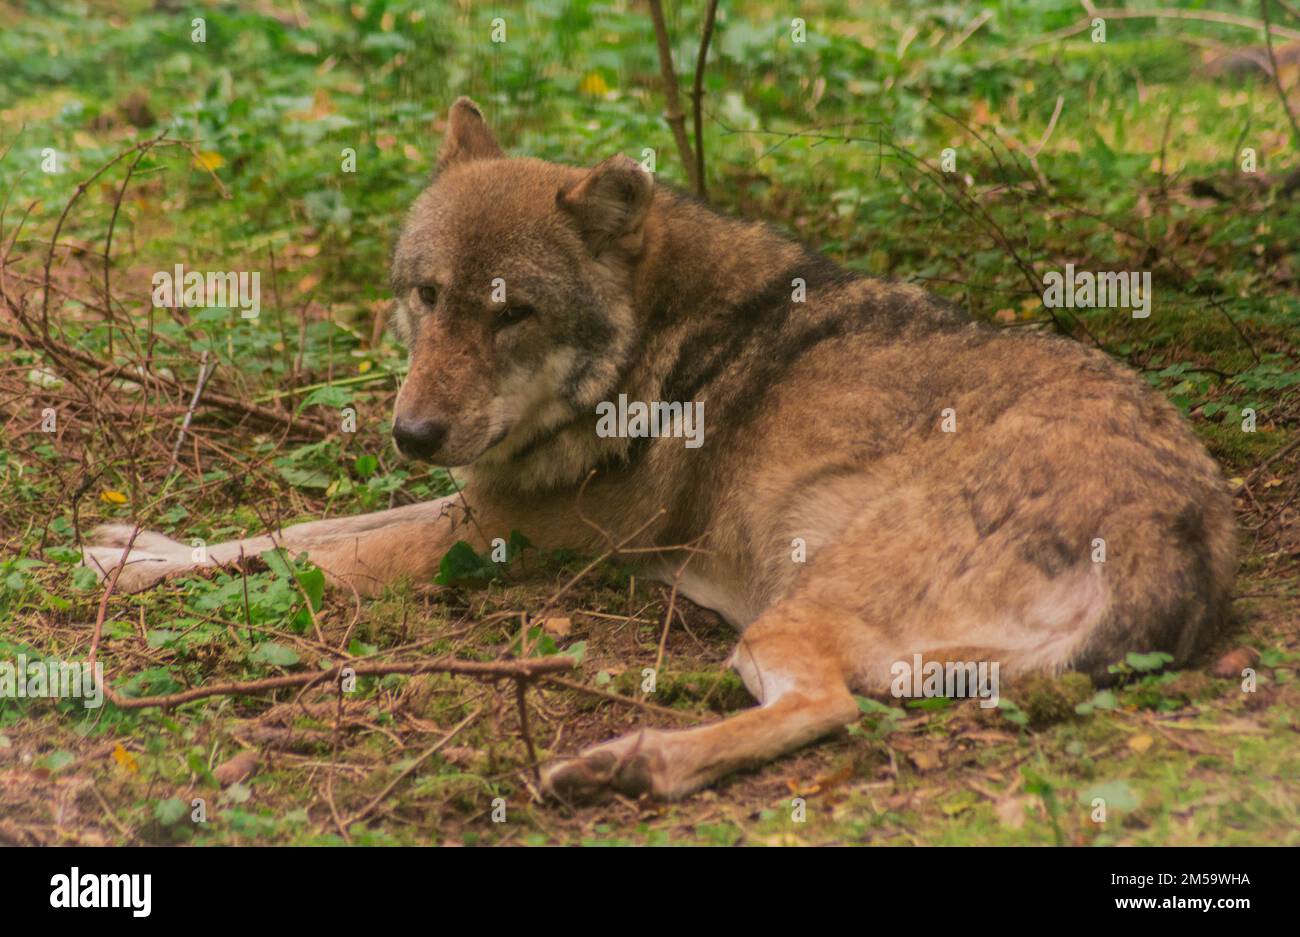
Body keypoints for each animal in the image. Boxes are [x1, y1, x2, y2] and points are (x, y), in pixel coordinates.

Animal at [85, 98, 1237, 802]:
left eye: (512, 314)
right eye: (428, 295)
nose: (412, 435)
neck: (653, 339)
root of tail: (1179, 529)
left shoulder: (485, 532)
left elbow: (299, 547)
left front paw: (129, 574)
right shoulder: (467, 502)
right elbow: (297, 525)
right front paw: (136, 545)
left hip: (785, 614)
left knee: (829, 708)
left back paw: (625, 762)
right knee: (853, 709)